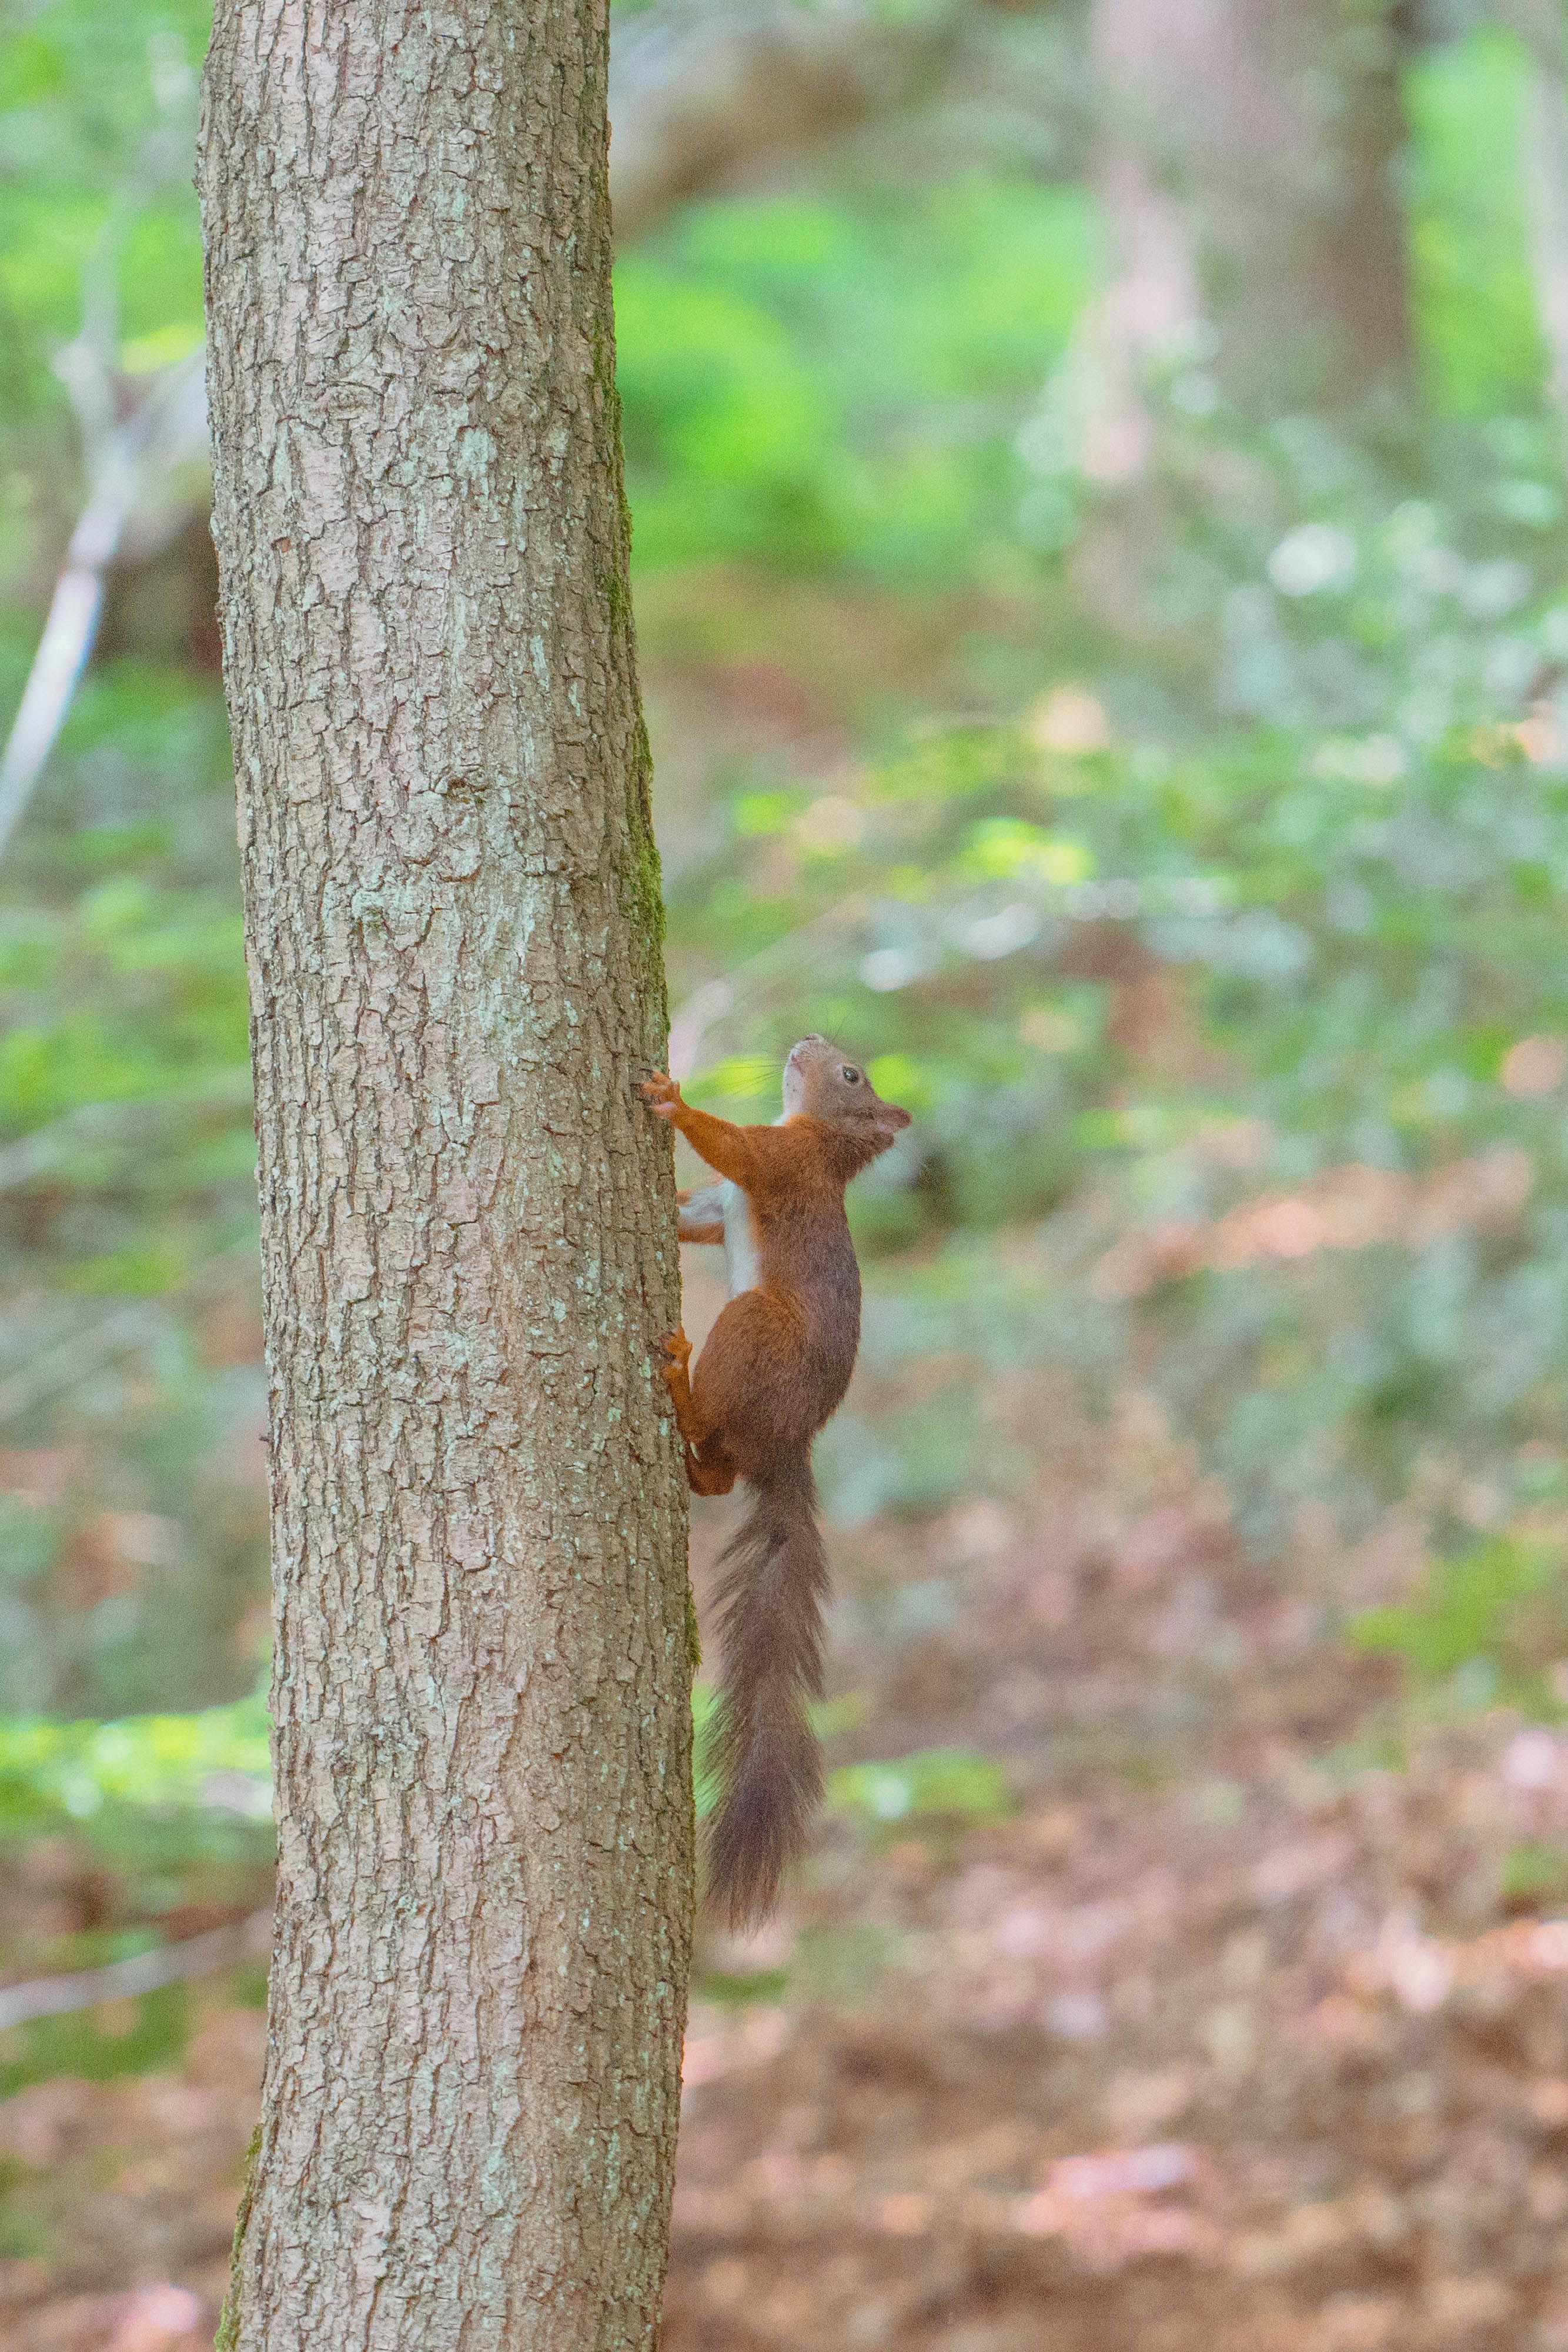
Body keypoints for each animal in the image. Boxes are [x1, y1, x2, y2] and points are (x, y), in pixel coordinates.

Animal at [641, 1036, 911, 1929]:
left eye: (852, 1074)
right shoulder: (715, 1205)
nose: (807, 1043)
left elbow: (736, 1148)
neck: (820, 1139)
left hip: (751, 1328)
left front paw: (673, 1098)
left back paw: (680, 1382)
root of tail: (790, 1447)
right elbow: (691, 1212)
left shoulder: (778, 1165)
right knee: (719, 1481)